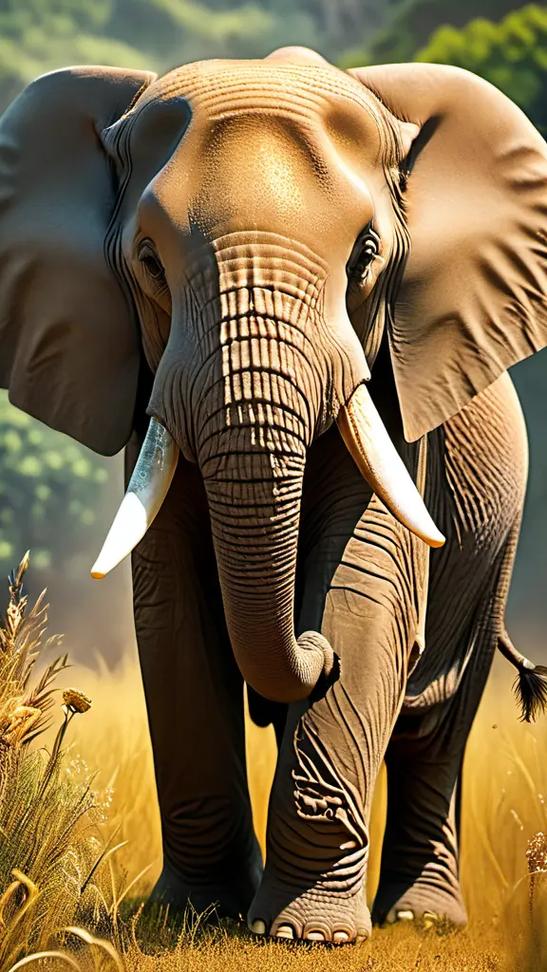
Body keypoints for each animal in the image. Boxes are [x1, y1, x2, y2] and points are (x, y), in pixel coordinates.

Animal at [0, 44, 546, 944]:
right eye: (147, 260)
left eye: (365, 257)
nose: (310, 648)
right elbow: (171, 613)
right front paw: (193, 916)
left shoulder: (398, 412)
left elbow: (367, 587)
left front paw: (304, 934)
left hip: (499, 536)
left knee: (439, 722)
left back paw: (421, 919)